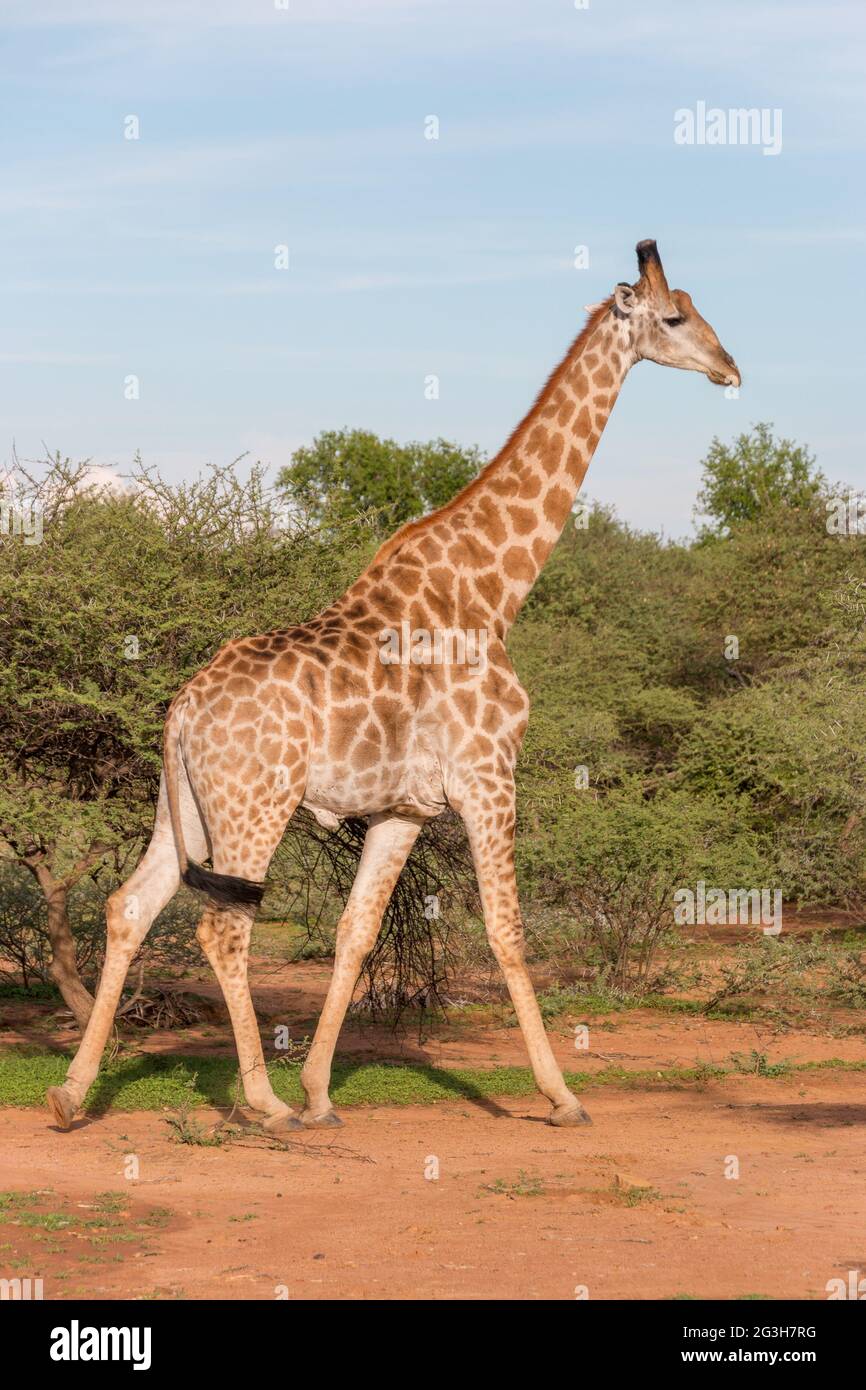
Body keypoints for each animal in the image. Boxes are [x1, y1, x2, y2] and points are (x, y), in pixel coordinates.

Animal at [46, 240, 739, 1133]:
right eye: (676, 317)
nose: (730, 368)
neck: (494, 587)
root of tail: (180, 709)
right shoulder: (488, 776)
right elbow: (509, 931)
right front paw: (561, 1096)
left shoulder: (406, 807)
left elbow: (357, 929)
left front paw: (319, 1092)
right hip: (255, 803)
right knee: (221, 930)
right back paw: (261, 1102)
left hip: (184, 806)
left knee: (130, 906)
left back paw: (73, 1093)